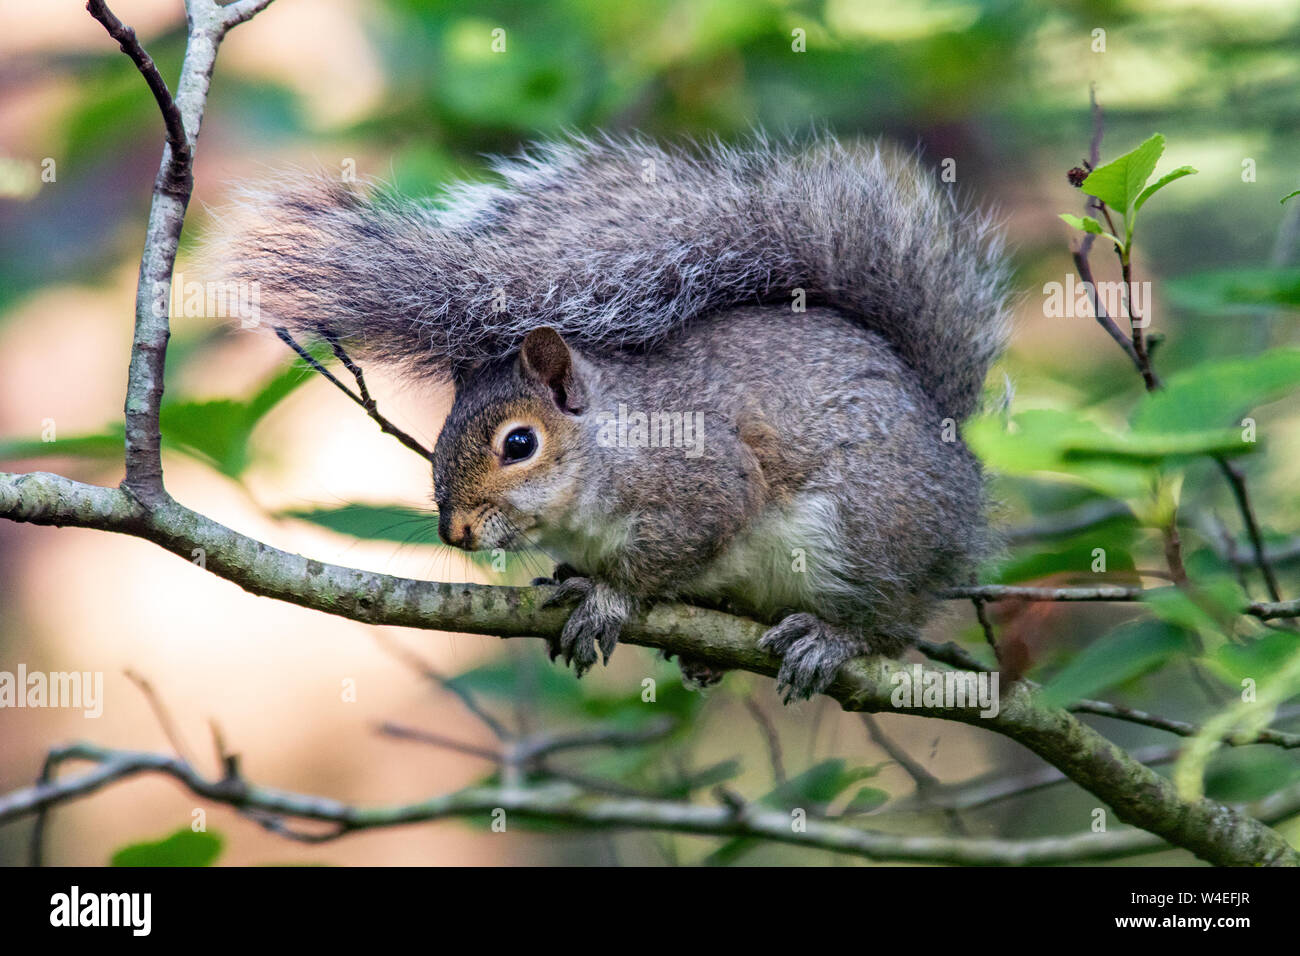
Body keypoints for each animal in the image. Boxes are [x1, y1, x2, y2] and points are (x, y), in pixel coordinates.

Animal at [212, 134, 1012, 701]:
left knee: (891, 621)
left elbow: (679, 546)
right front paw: (571, 579)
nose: (456, 531)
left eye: (520, 443)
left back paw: (833, 639)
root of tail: (961, 467)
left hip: (870, 528)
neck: (609, 445)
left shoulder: (705, 479)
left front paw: (607, 598)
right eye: (438, 437)